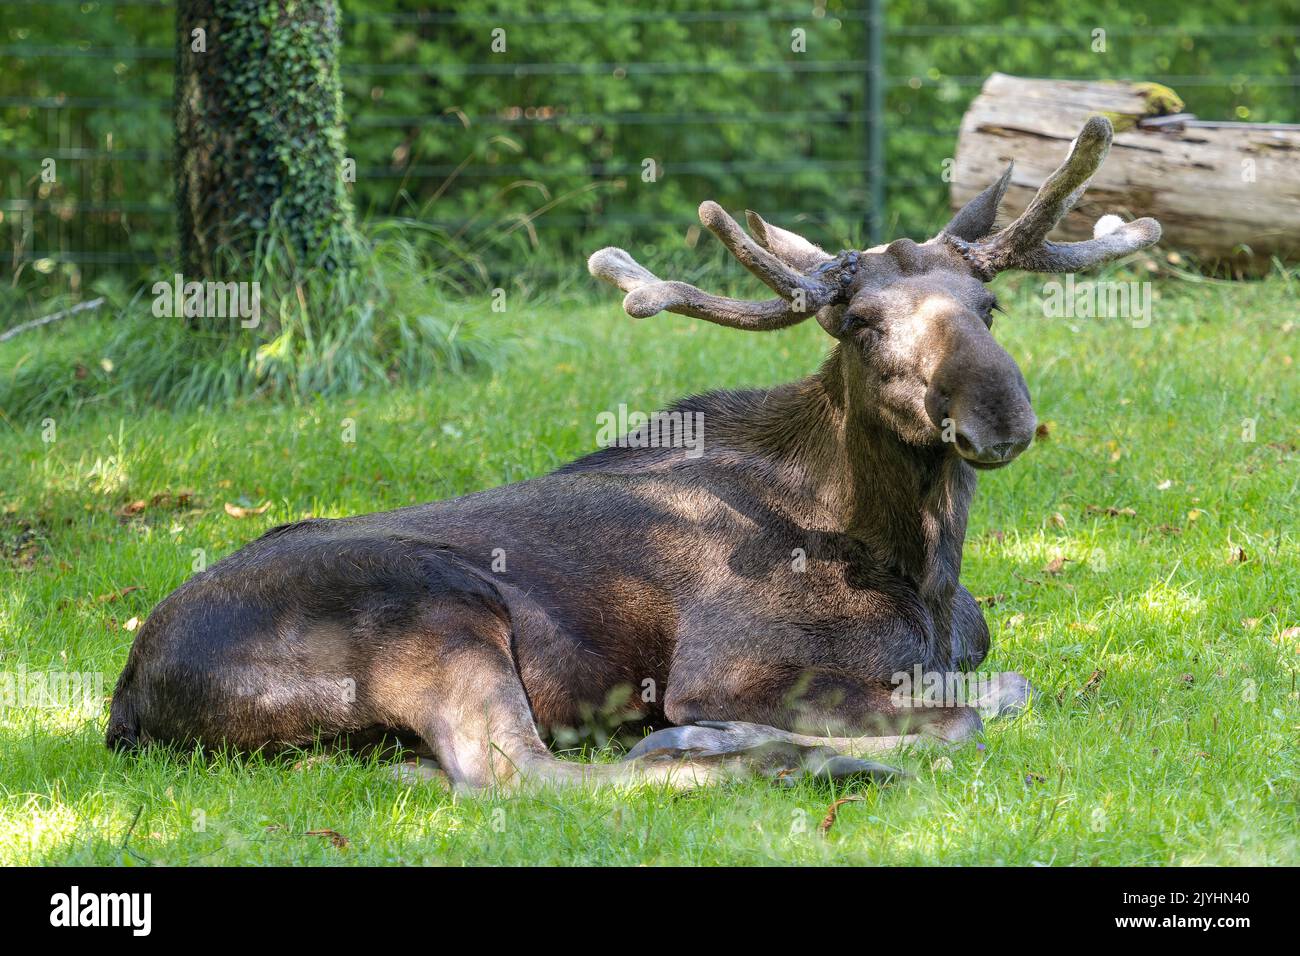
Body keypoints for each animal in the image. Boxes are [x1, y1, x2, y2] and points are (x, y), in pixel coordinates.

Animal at [106, 117, 1160, 791]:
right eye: (860, 323)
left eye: (991, 304)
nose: (1002, 416)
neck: (924, 567)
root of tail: (124, 702)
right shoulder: (734, 663)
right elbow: (973, 709)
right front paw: (728, 732)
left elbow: (998, 683)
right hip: (437, 610)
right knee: (517, 777)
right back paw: (768, 758)